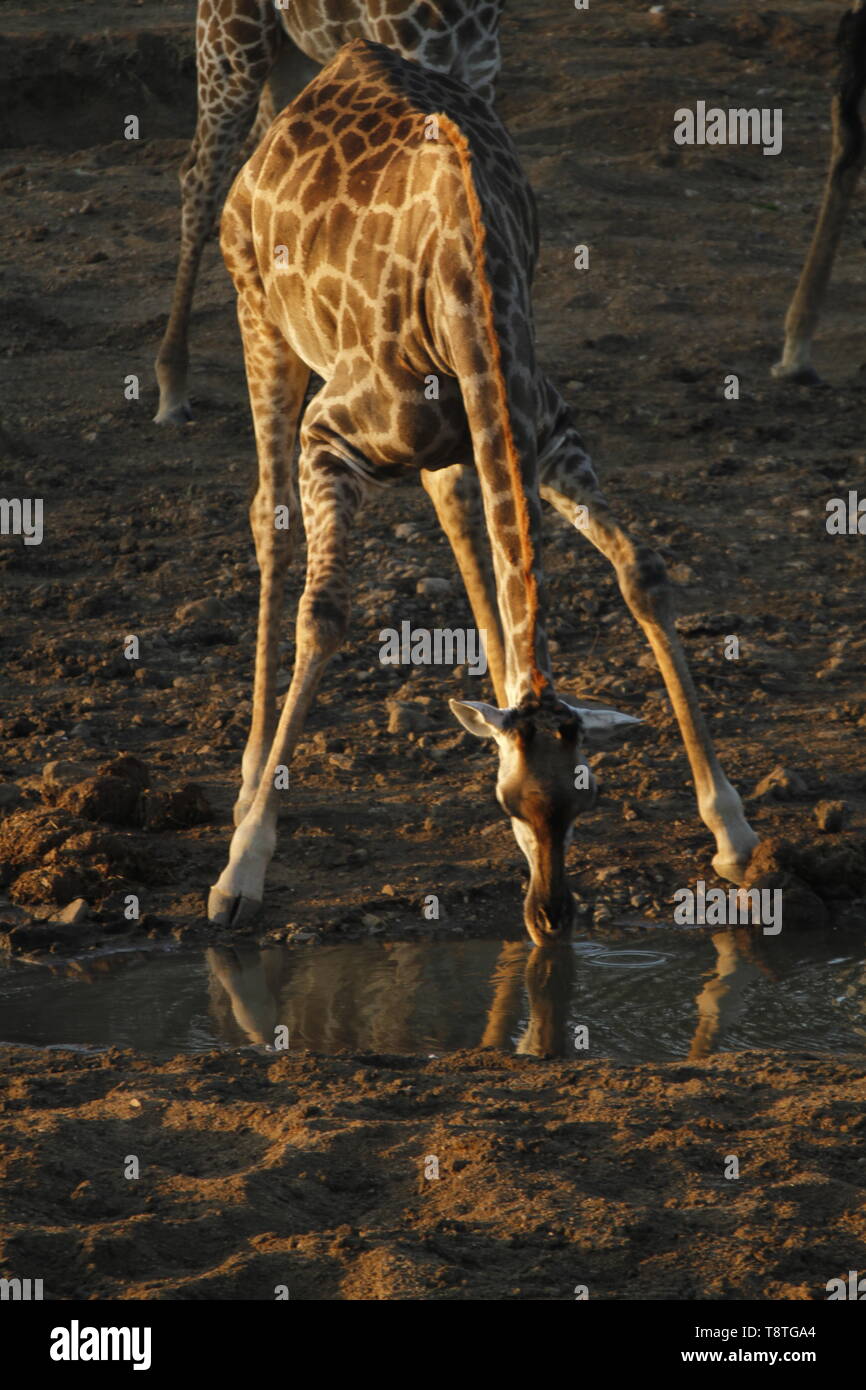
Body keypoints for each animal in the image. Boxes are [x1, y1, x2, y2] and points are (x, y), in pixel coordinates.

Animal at [154, 0, 503, 424]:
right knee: (199, 180)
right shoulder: (408, 45)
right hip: (233, 47)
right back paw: (173, 386)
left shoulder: (480, 66)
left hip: (293, 57)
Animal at [208, 38, 759, 944]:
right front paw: (243, 869)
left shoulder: (545, 432)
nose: (552, 917)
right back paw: (251, 777)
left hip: (450, 442)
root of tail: (336, 65)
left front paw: (733, 829)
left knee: (465, 528)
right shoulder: (333, 439)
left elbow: (640, 570)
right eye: (508, 799)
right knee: (270, 517)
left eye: (581, 801)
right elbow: (324, 615)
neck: (468, 291)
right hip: (260, 319)